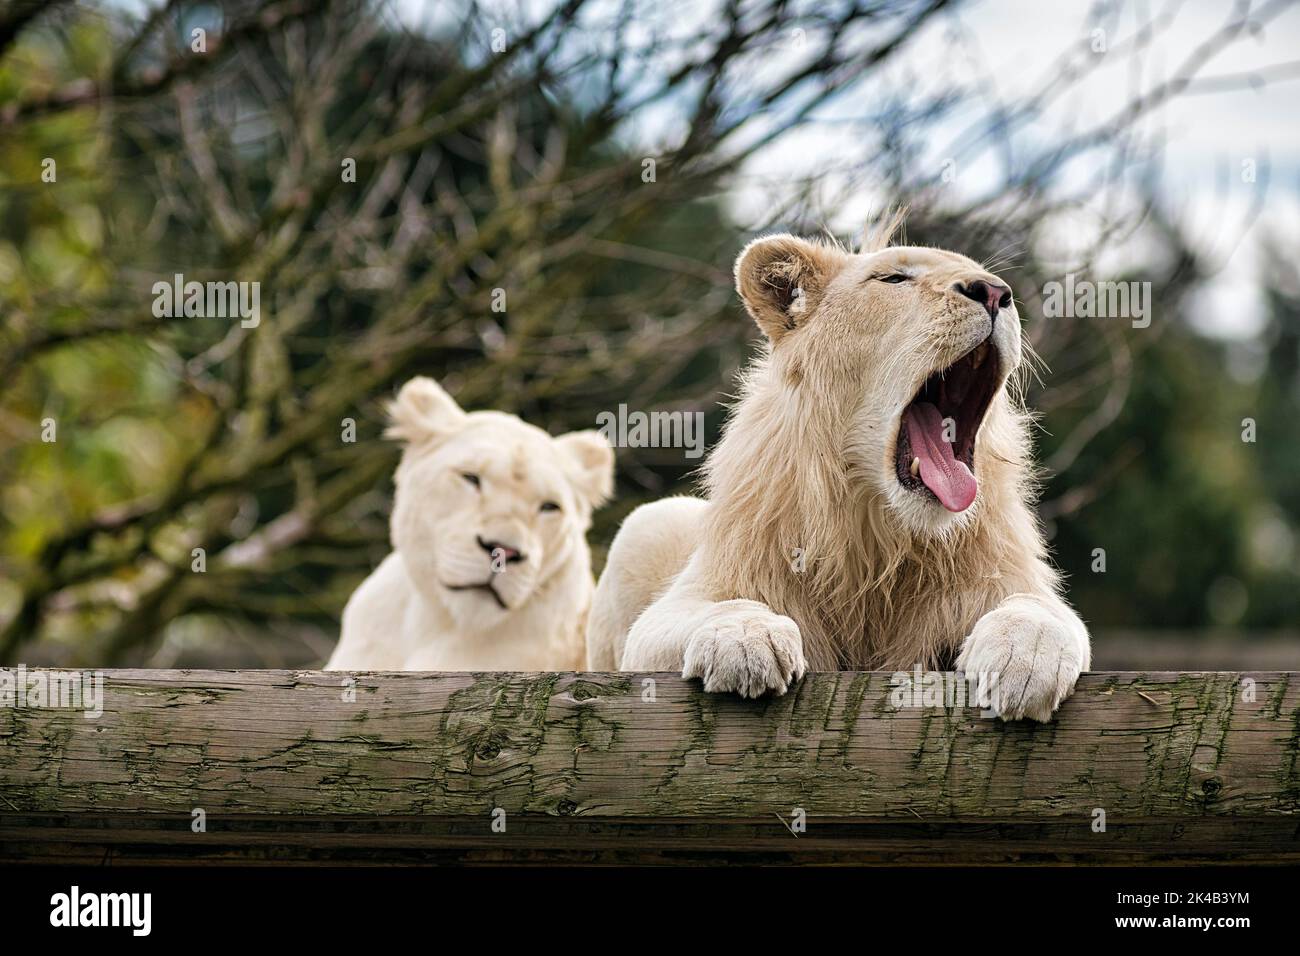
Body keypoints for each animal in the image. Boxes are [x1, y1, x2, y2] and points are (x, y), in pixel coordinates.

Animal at [587, 223, 1090, 721]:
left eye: (996, 286)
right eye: (893, 279)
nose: (994, 293)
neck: (878, 530)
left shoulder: (1008, 582)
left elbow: (1037, 607)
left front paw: (1024, 659)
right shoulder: (666, 621)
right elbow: (723, 605)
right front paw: (747, 641)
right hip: (649, 522)